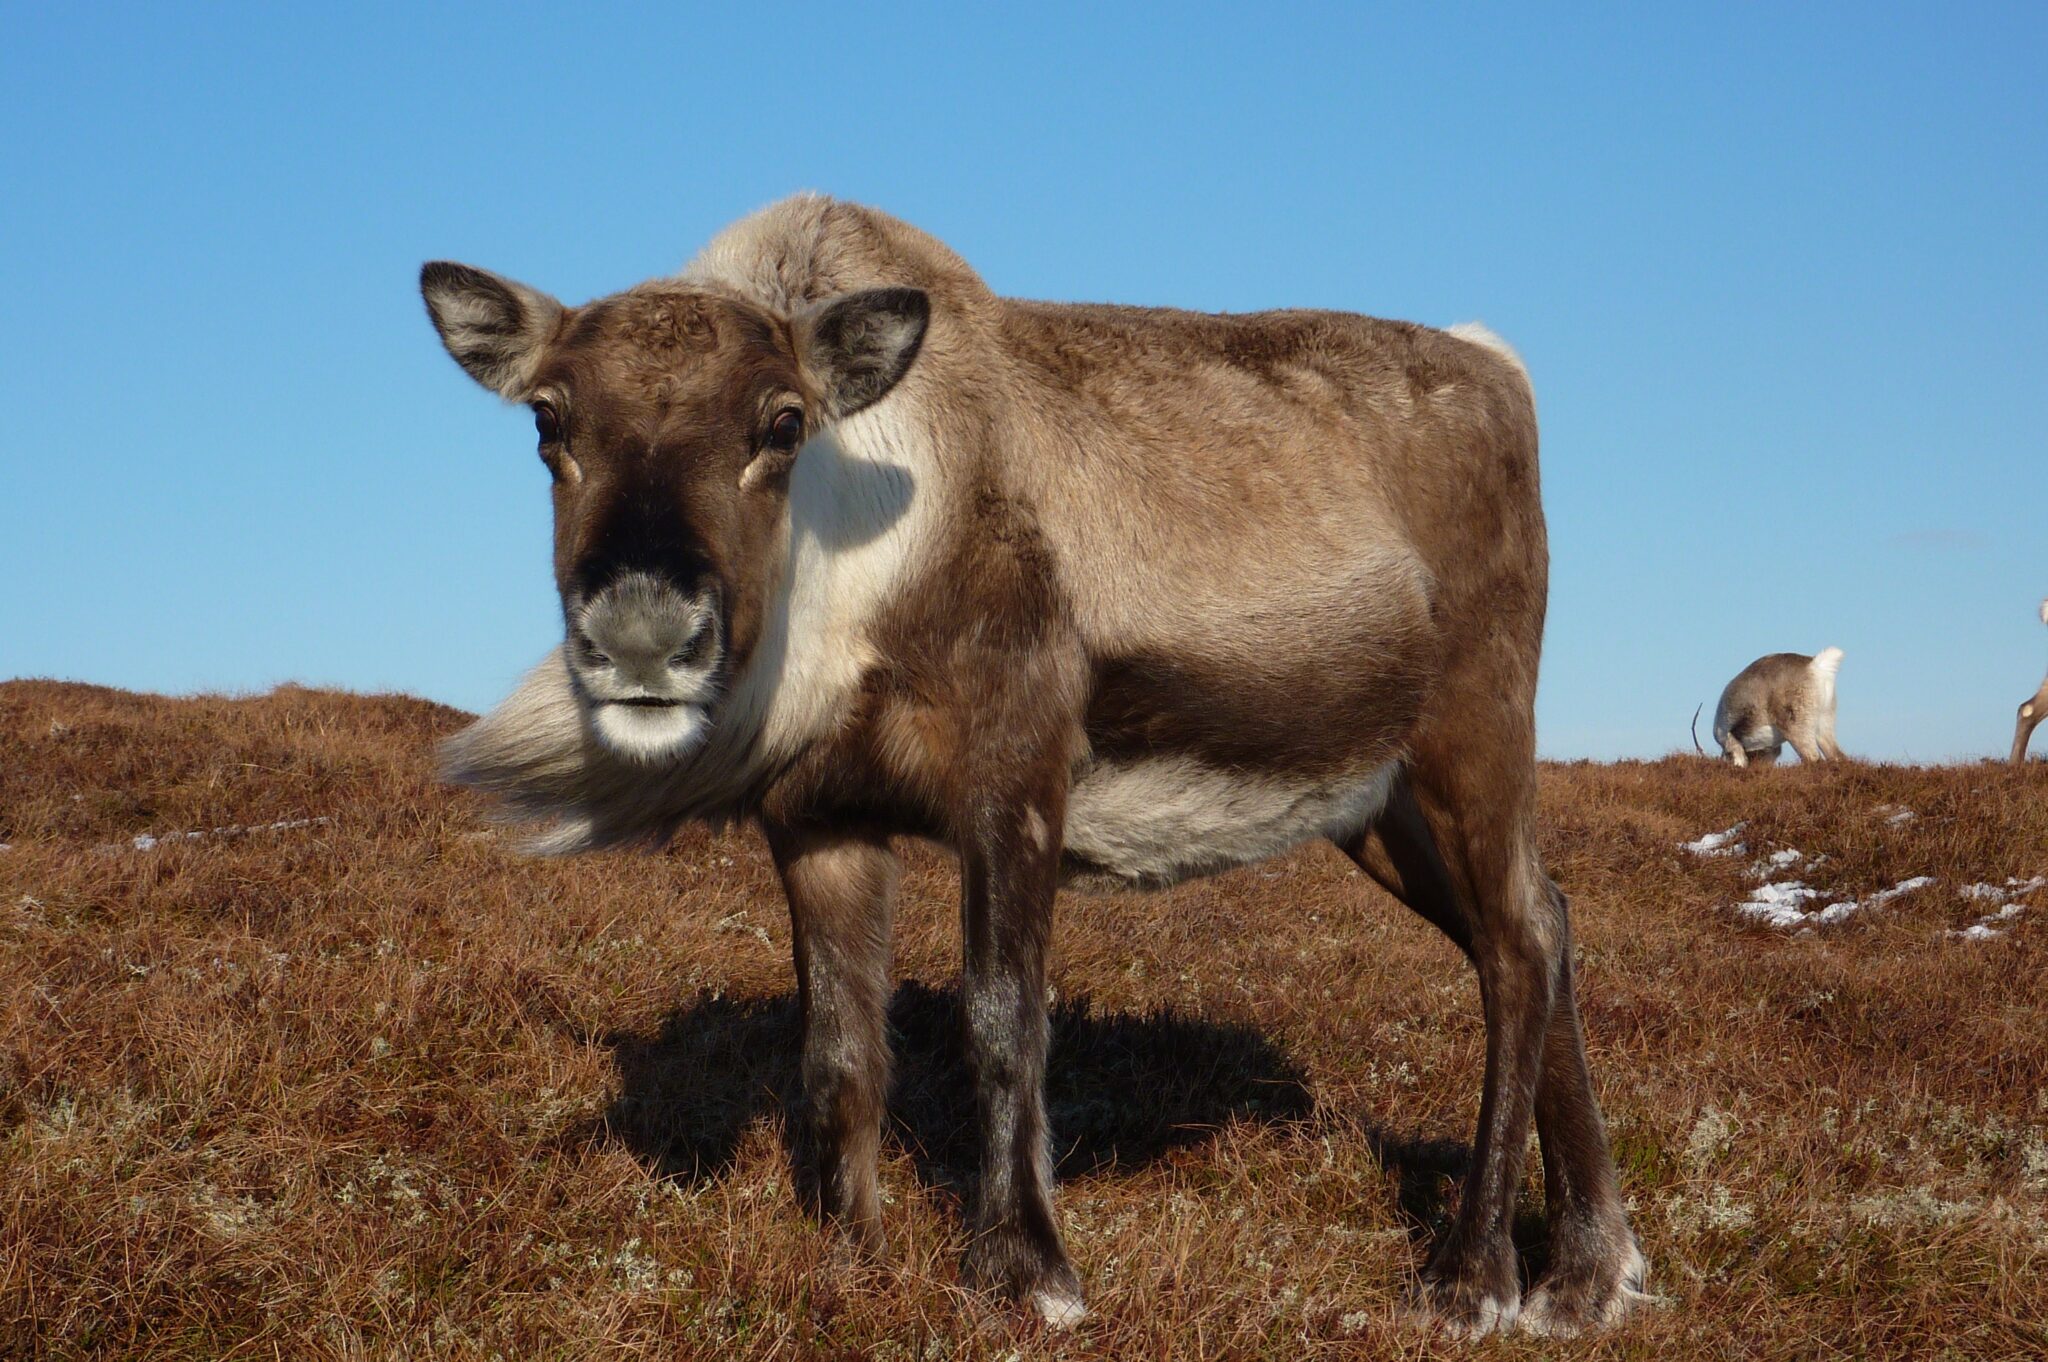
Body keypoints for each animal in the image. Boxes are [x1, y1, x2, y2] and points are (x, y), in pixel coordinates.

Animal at [418, 194, 1648, 1336]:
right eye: (547, 419)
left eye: (781, 420)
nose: (640, 634)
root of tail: (1499, 367)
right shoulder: (819, 819)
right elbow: (839, 1053)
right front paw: (852, 1263)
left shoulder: (1016, 768)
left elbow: (1003, 1017)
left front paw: (1026, 1275)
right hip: (1376, 803)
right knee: (1545, 922)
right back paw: (1594, 1272)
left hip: (1474, 732)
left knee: (1513, 948)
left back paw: (1476, 1277)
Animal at [1706, 648, 1845, 767]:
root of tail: (1814, 665)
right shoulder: (1771, 751)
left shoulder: (1731, 743)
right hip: (1824, 724)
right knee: (1837, 755)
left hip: (1796, 727)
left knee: (1812, 757)